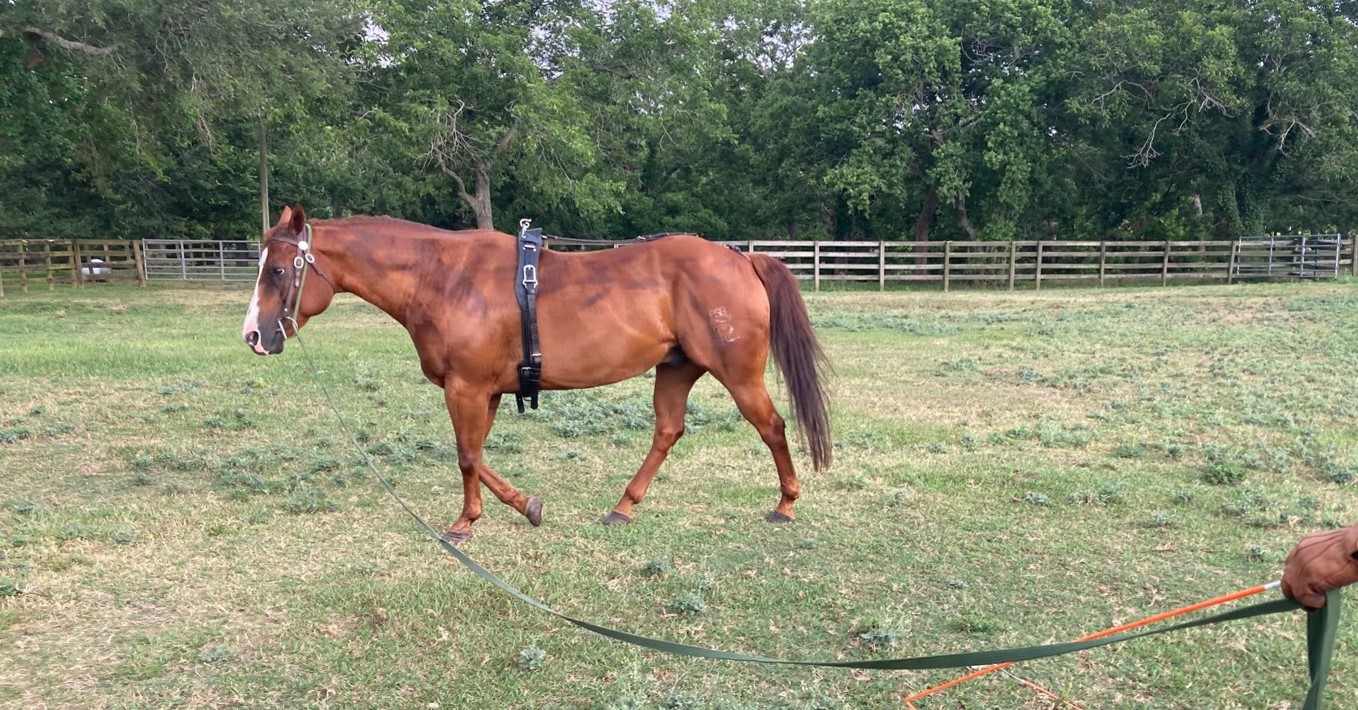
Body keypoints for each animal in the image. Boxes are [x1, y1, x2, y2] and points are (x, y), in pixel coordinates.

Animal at [241, 205, 831, 543]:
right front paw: (517, 506)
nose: (254, 335)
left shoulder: (466, 388)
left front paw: (470, 522)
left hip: (737, 373)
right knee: (668, 431)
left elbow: (467, 455)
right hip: (676, 369)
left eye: (279, 271)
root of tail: (739, 258)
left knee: (772, 427)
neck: (444, 278)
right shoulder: (487, 392)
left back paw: (785, 504)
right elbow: (476, 455)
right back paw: (623, 507)